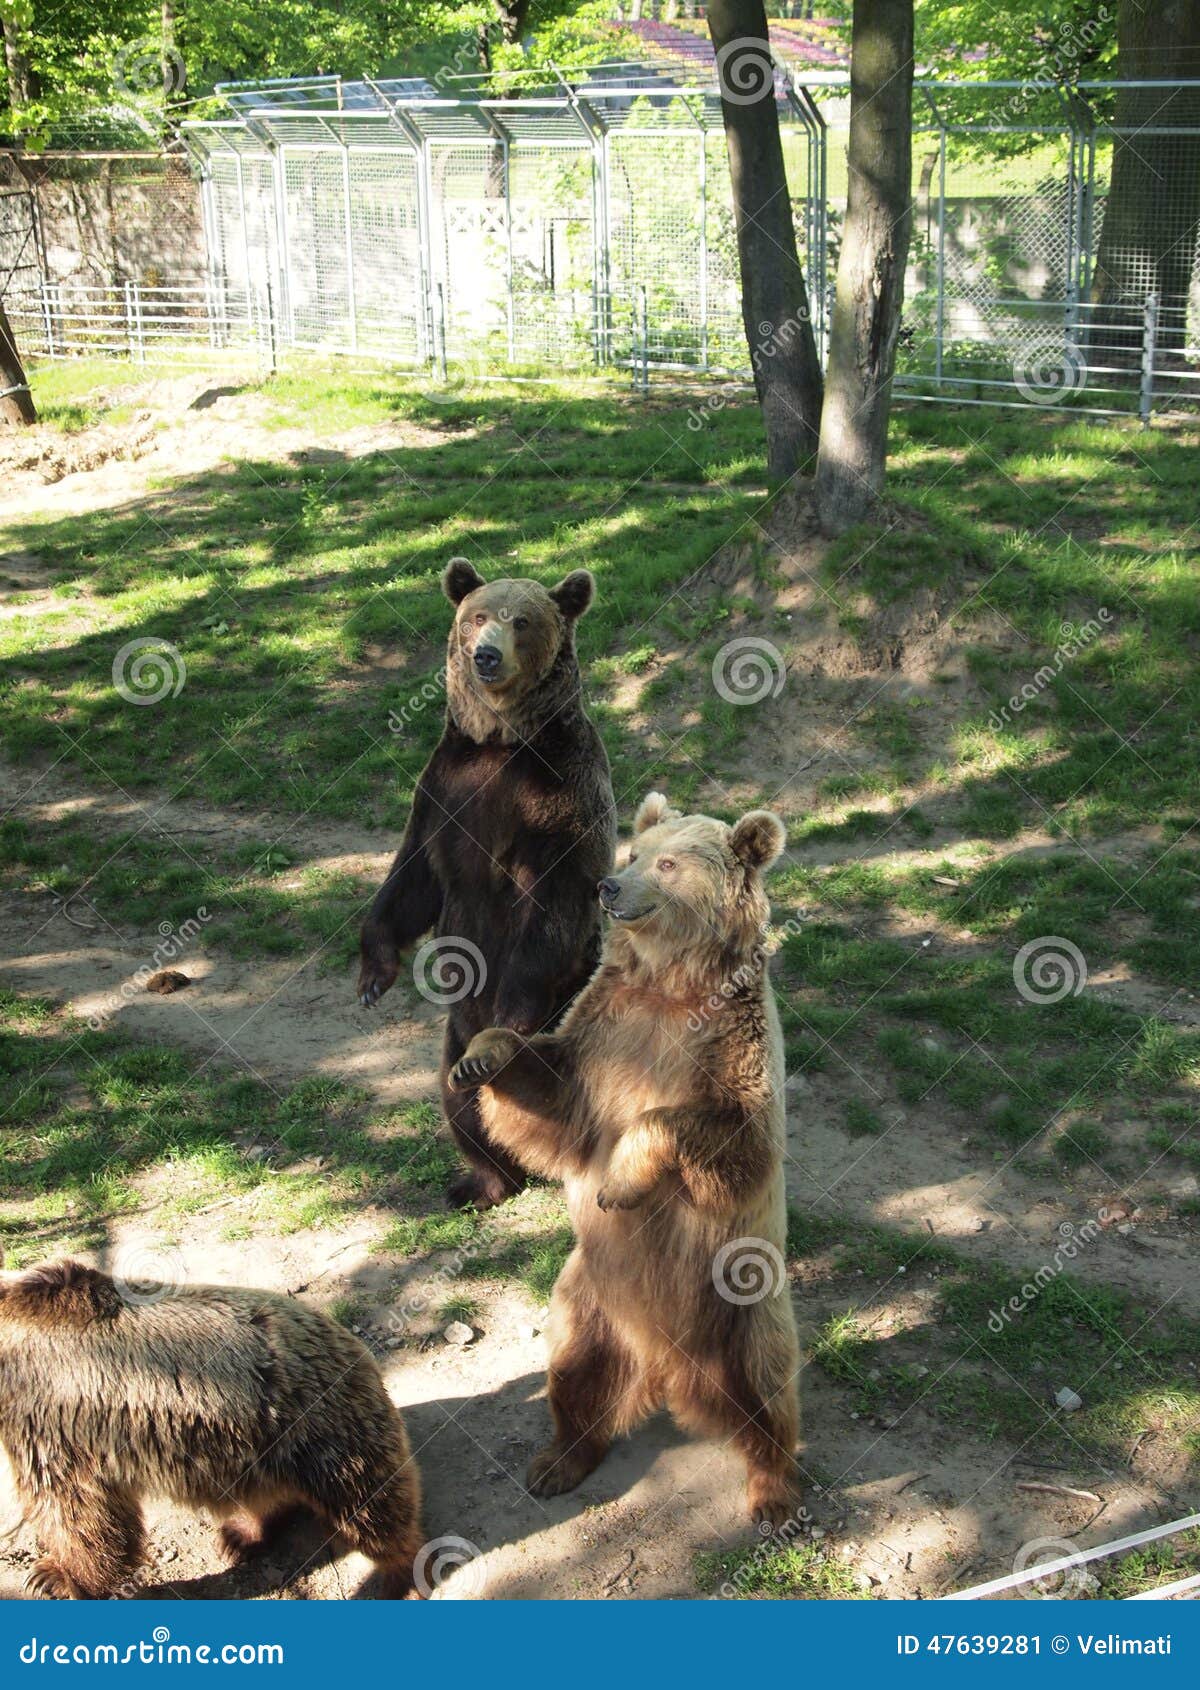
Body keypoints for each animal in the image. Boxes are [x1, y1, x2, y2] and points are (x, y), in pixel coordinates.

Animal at [0, 1260, 424, 1599]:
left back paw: (397, 1576)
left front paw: (55, 1577)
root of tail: (344, 1336)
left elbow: (78, 1511)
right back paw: (240, 1534)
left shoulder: (50, 1421)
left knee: (371, 1507)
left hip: (323, 1433)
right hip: (253, 1450)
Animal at [359, 557, 616, 1211]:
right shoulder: (445, 788)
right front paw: (373, 976)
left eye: (521, 620)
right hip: (452, 1030)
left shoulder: (559, 796)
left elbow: (552, 905)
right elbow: (412, 879)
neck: (504, 743)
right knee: (459, 1104)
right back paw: (480, 1181)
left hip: (572, 1008)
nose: (486, 656)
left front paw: (508, 1021)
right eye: (475, 616)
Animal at [448, 792, 803, 1526]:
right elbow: (549, 1098)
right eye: (634, 852)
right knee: (573, 1371)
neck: (670, 985)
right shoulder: (604, 1033)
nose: (609, 886)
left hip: (743, 1301)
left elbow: (730, 1140)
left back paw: (774, 1493)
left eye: (668, 863)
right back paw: (558, 1460)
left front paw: (619, 1183)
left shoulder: (735, 1050)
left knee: (768, 1392)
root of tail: (669, 1367)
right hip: (588, 1297)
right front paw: (479, 1056)